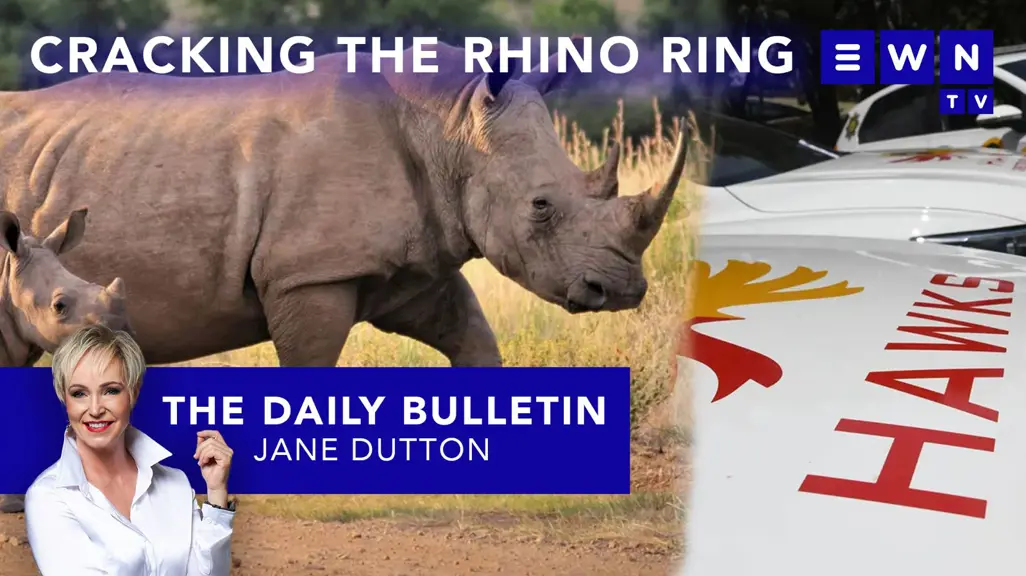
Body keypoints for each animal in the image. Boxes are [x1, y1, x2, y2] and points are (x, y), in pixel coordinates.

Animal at [0, 40, 687, 369]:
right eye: (541, 206)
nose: (620, 289)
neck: (451, 129)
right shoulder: (309, 274)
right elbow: (311, 365)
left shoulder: (418, 260)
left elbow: (474, 339)